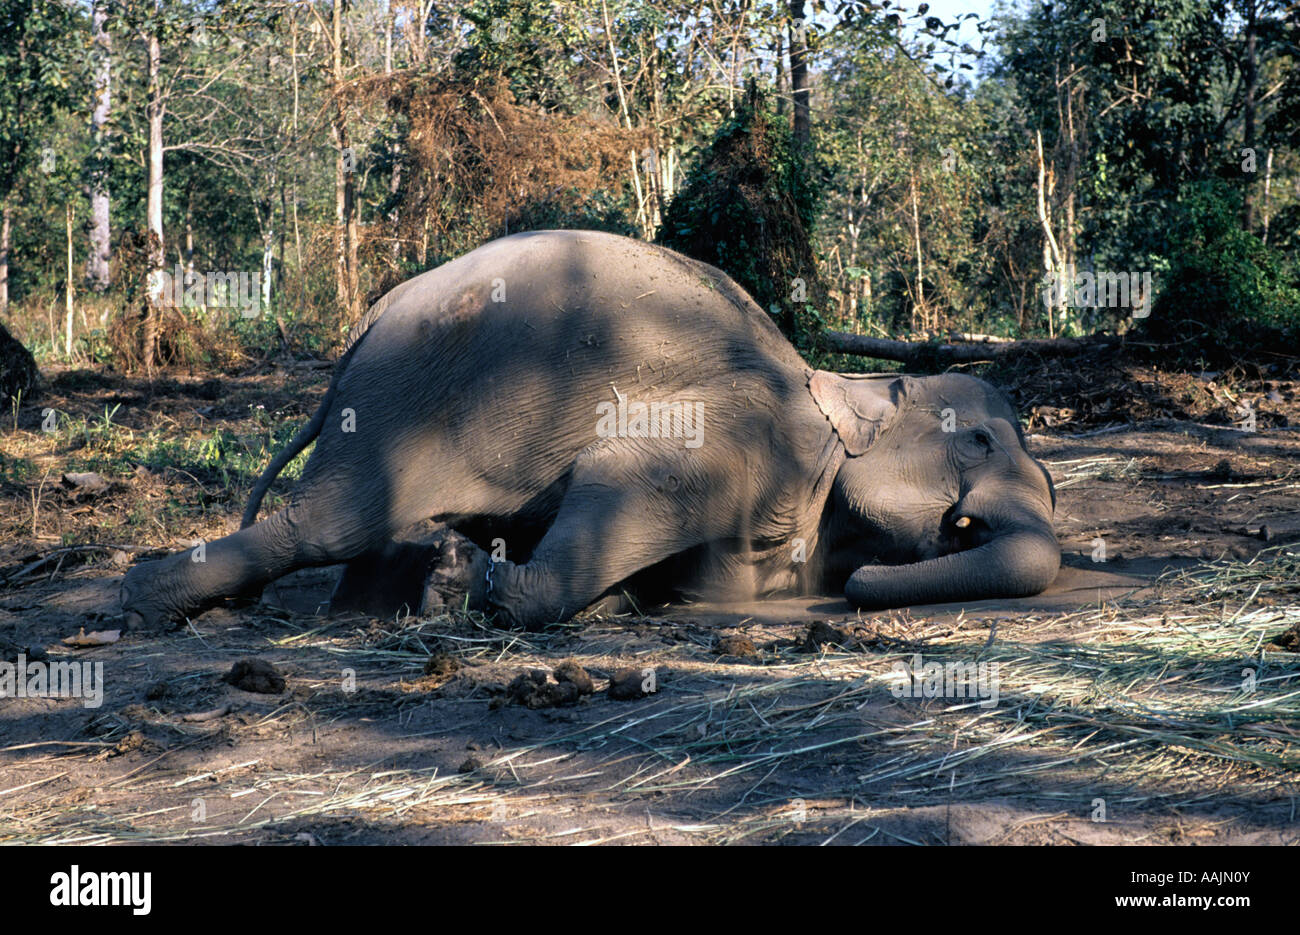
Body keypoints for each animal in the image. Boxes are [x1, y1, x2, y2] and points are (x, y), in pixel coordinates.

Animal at [121, 230, 1059, 630]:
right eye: (979, 441)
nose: (856, 591)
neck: (836, 389)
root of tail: (369, 322)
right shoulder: (747, 429)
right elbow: (622, 470)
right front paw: (483, 587)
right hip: (395, 400)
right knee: (327, 523)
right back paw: (147, 602)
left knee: (370, 536)